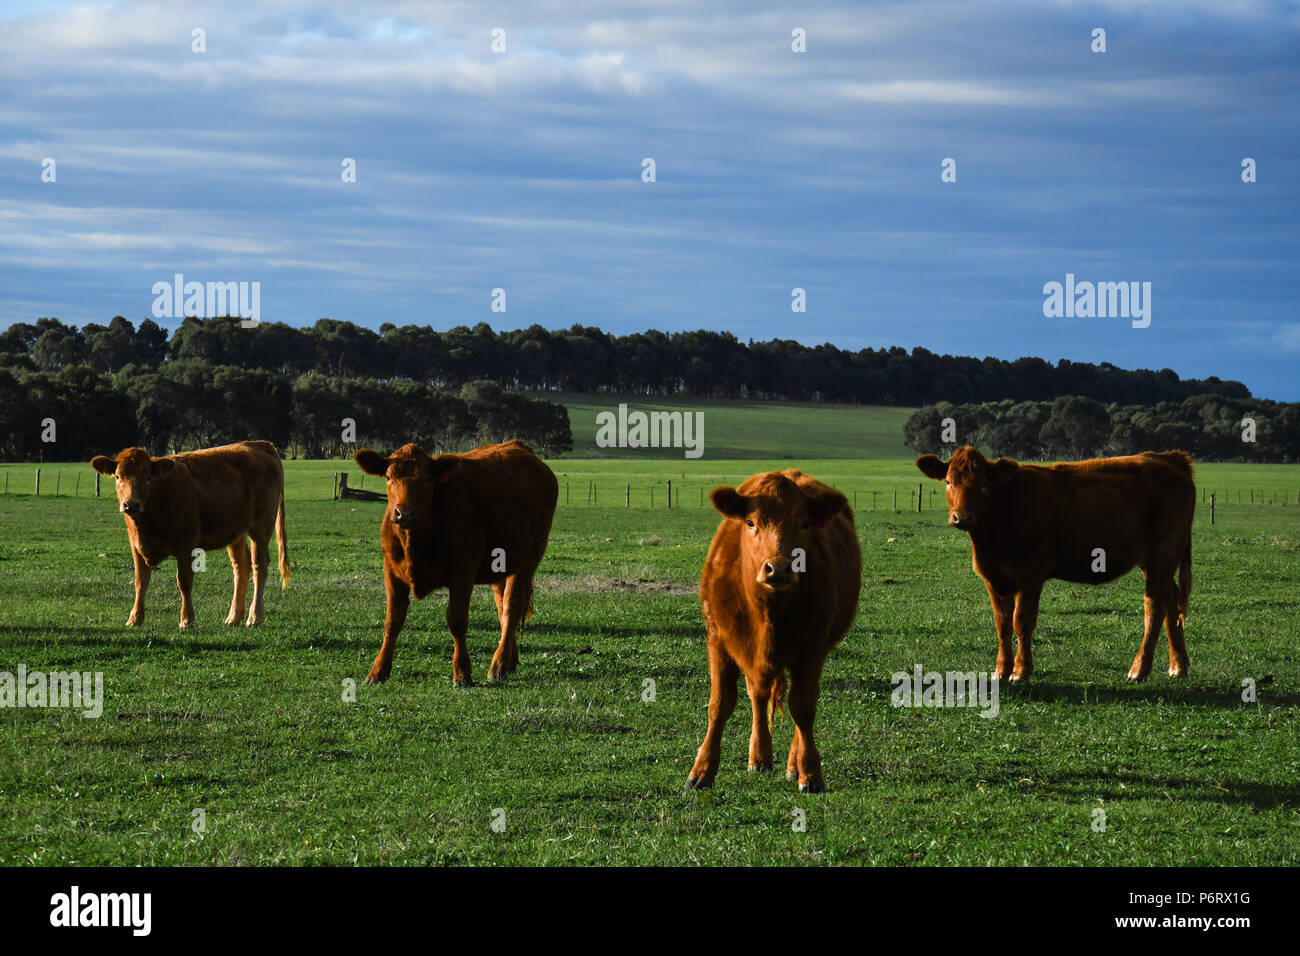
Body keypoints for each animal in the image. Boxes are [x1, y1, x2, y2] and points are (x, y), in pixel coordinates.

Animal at [90, 441, 289, 629]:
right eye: (118, 477)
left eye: (148, 477)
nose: (131, 504)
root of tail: (260, 444)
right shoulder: (136, 546)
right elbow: (141, 581)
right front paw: (135, 618)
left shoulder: (186, 545)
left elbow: (184, 581)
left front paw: (187, 620)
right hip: (236, 533)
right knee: (241, 566)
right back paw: (233, 617)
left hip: (261, 527)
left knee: (259, 566)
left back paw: (254, 617)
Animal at [353, 439, 558, 687]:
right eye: (388, 477)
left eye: (427, 479)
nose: (404, 513)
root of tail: (518, 446)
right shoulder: (391, 572)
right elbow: (393, 621)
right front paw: (378, 671)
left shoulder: (463, 573)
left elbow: (457, 621)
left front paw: (462, 673)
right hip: (501, 564)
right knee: (502, 606)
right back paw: (510, 661)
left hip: (528, 560)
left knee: (512, 607)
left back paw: (498, 665)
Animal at [687, 470, 861, 793]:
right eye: (750, 522)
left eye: (804, 523)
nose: (778, 569)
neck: (767, 614)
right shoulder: (718, 640)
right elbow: (720, 704)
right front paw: (702, 770)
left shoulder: (812, 650)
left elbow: (802, 708)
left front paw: (809, 773)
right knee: (758, 694)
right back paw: (759, 757)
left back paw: (792, 765)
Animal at [916, 446, 1195, 683]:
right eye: (949, 482)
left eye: (983, 483)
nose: (962, 517)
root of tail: (1167, 457)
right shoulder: (992, 578)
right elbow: (1002, 624)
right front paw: (1001, 670)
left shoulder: (1031, 575)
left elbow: (1021, 621)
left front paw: (1021, 671)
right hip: (1150, 560)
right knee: (1171, 600)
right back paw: (1178, 666)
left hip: (1163, 552)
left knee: (1155, 606)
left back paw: (1139, 669)